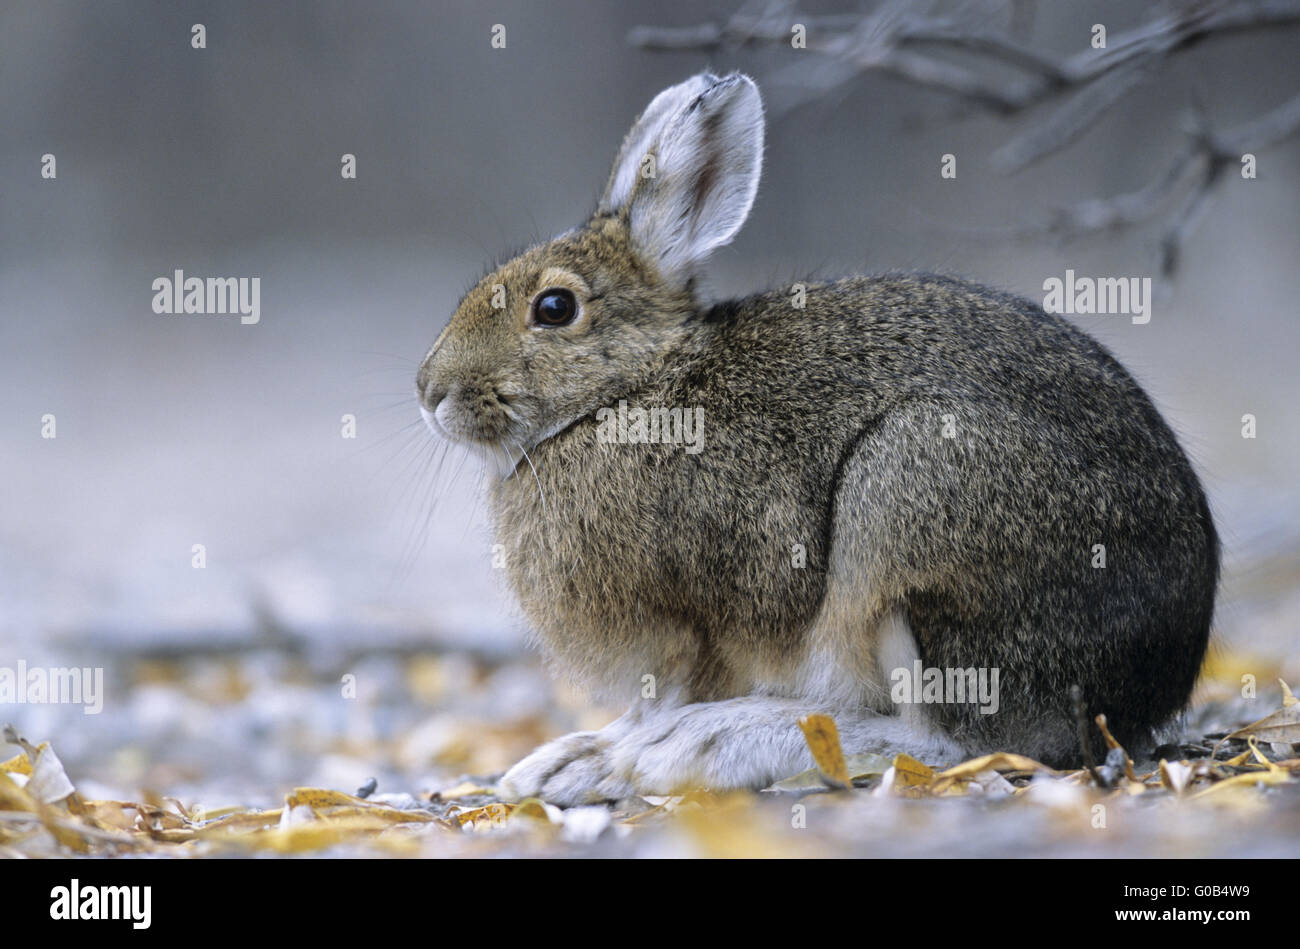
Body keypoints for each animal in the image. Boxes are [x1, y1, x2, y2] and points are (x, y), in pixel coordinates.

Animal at [415, 72, 1220, 806]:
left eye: (554, 308)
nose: (430, 392)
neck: (631, 388)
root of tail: (1152, 685)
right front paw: (568, 760)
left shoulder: (691, 630)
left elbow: (666, 698)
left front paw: (604, 759)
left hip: (909, 498)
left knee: (951, 740)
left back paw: (709, 745)